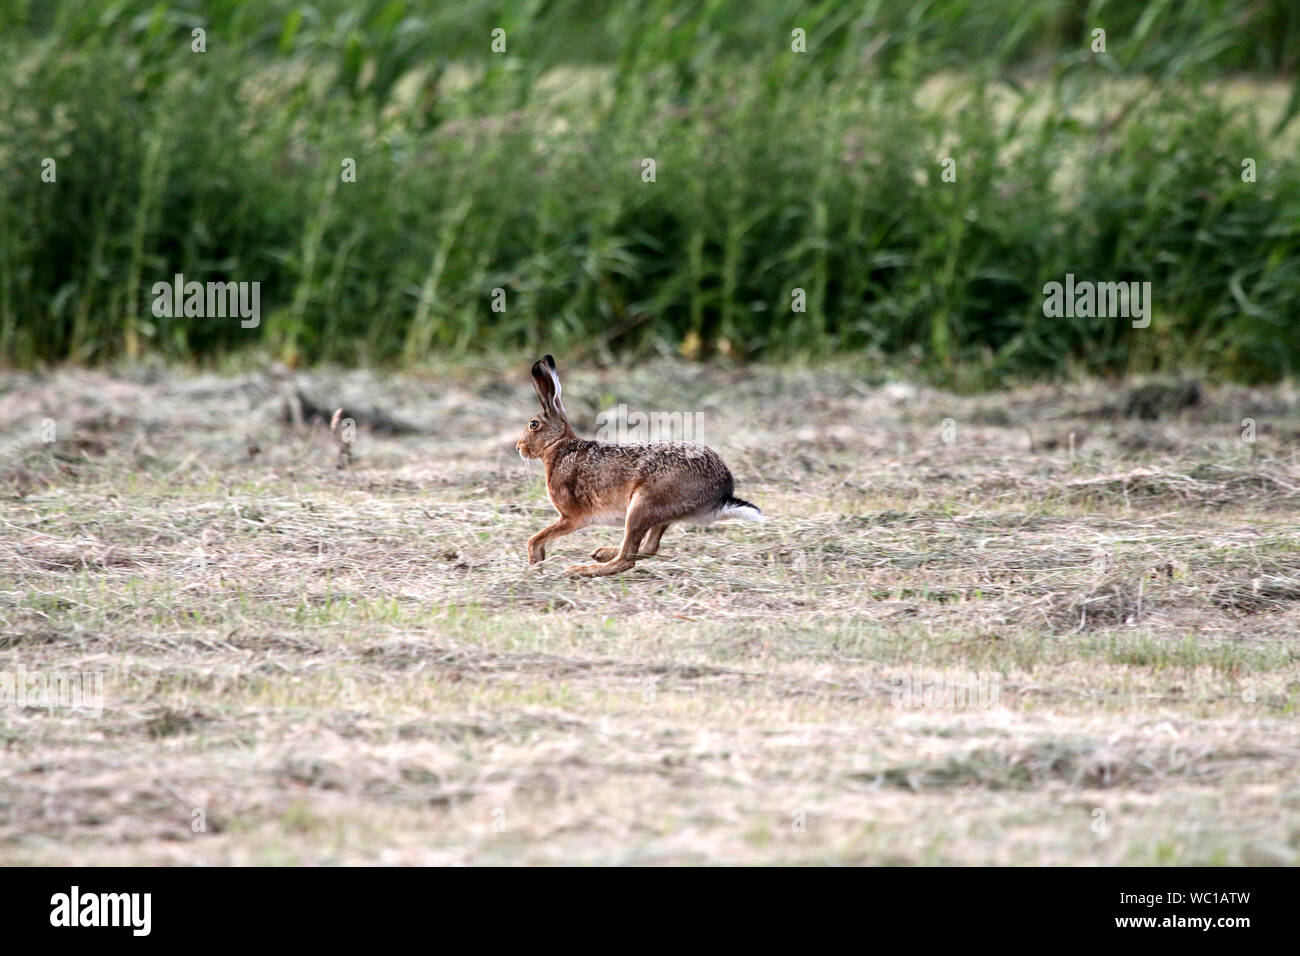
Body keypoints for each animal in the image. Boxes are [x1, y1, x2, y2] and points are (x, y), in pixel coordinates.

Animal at [516, 355, 762, 577]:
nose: (518, 447)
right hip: (658, 513)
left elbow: (536, 537)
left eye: (533, 424)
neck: (558, 446)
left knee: (628, 558)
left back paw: (581, 569)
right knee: (648, 548)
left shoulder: (572, 517)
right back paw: (601, 553)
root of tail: (722, 493)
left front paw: (535, 562)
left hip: (641, 504)